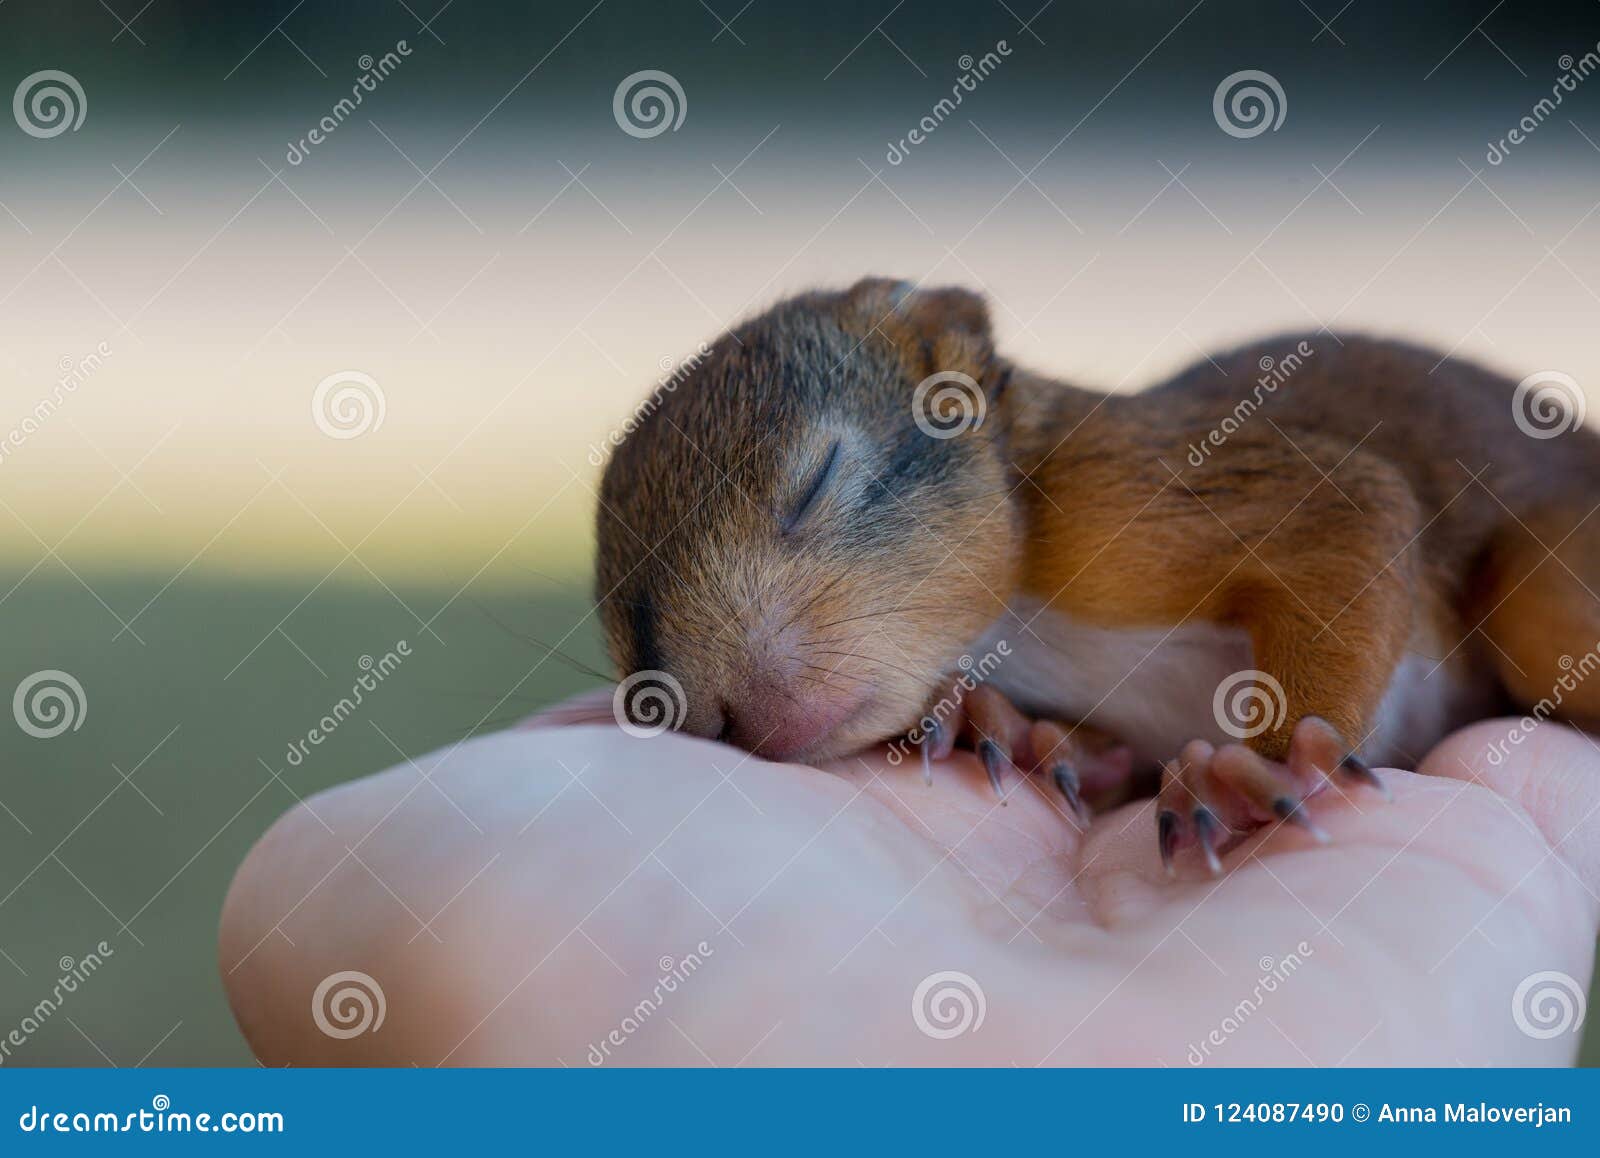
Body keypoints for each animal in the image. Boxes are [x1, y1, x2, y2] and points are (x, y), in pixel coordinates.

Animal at [594, 277, 1600, 875]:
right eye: (625, 650)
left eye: (816, 481)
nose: (727, 719)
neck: (1014, 628)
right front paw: (1001, 725)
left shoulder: (1110, 491)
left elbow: (1353, 507)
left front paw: (1263, 768)